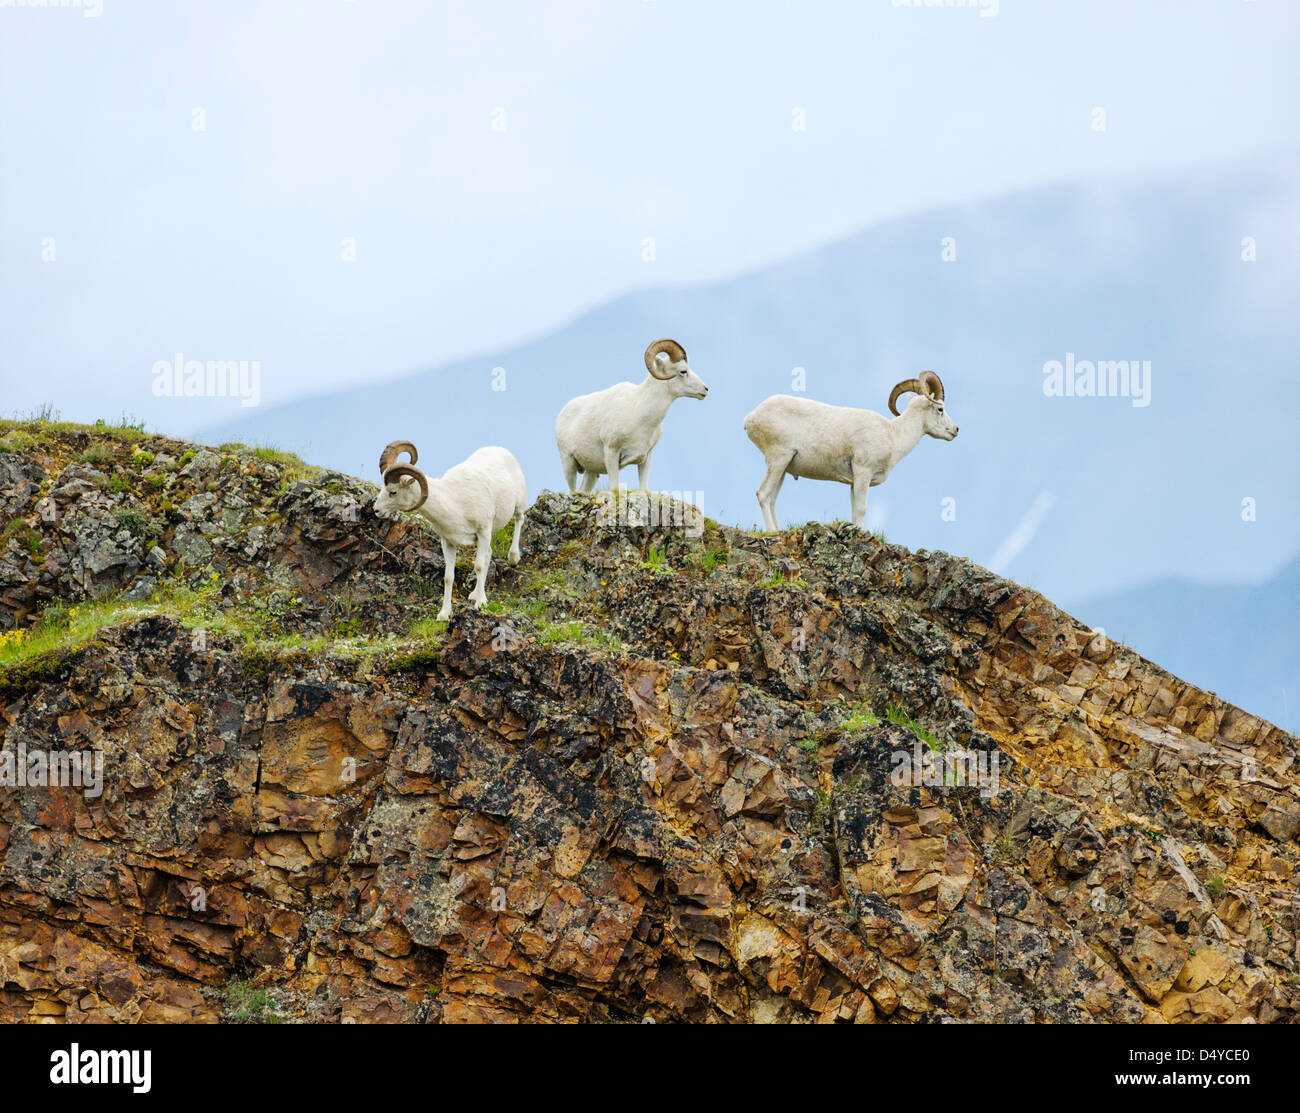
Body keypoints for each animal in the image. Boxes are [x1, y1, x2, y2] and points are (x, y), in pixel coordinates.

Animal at [373, 440, 527, 620]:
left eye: (393, 492)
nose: (376, 510)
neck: (455, 503)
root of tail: (500, 450)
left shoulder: (483, 531)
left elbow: (479, 567)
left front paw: (481, 604)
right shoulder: (448, 542)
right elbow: (448, 577)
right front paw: (444, 614)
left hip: (518, 506)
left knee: (519, 520)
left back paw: (513, 557)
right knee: (488, 553)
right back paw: (474, 594)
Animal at [554, 338, 709, 492]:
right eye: (683, 371)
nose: (705, 389)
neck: (639, 413)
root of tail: (561, 414)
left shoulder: (646, 458)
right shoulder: (611, 453)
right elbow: (615, 487)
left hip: (591, 472)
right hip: (569, 464)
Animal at [742, 371, 958, 531]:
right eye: (940, 409)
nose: (955, 430)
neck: (893, 435)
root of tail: (750, 417)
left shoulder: (854, 482)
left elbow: (855, 510)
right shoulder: (863, 472)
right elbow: (862, 509)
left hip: (783, 467)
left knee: (771, 499)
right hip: (779, 459)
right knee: (763, 494)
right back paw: (772, 532)